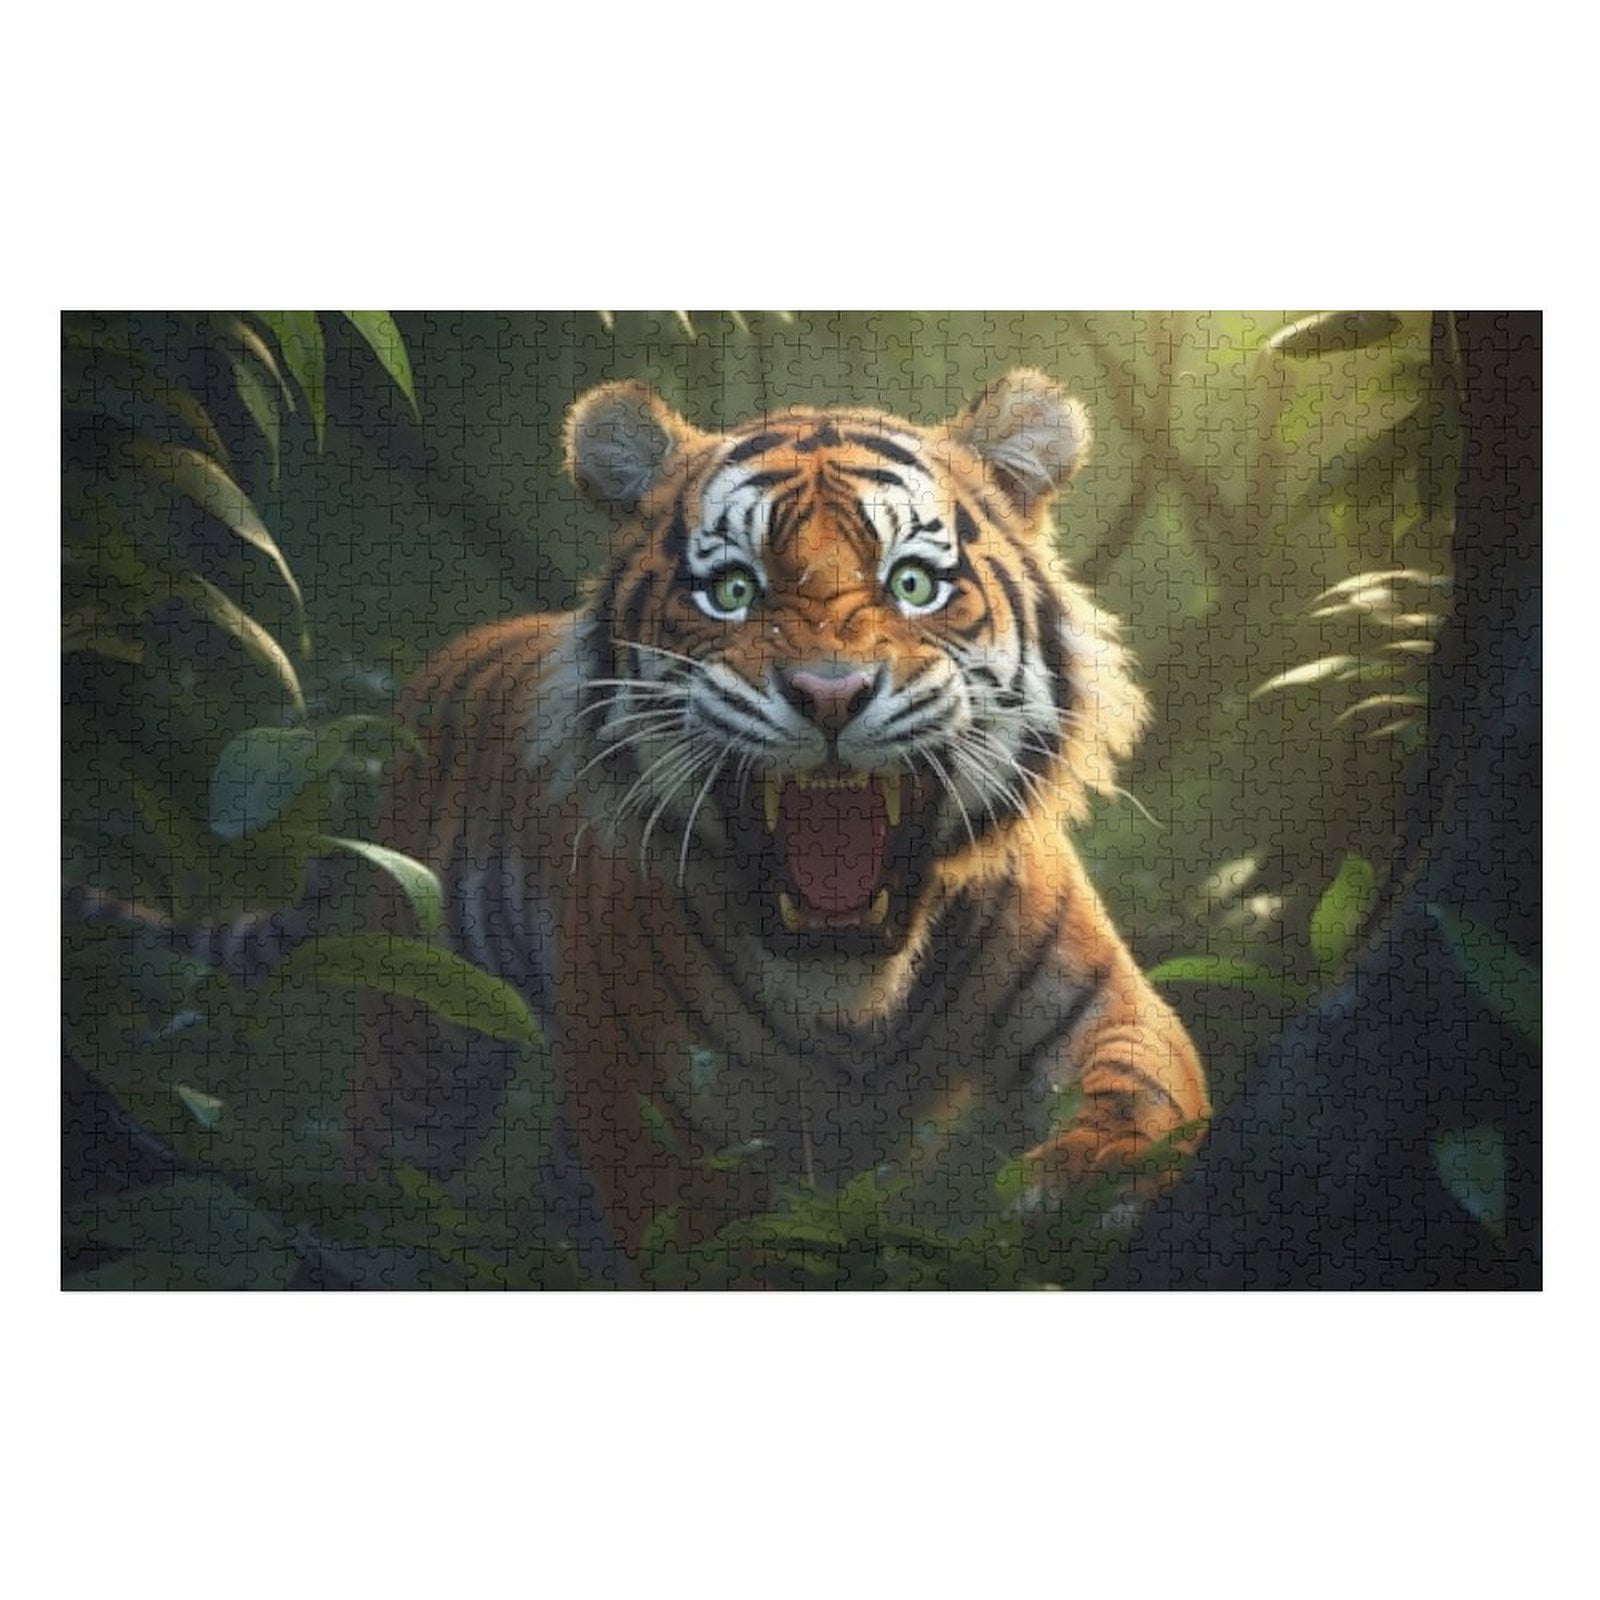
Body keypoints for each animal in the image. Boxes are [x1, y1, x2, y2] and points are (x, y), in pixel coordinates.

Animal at [353, 369, 1210, 1274]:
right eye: (733, 591)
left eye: (913, 583)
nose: (830, 693)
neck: (854, 1003)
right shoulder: (641, 1098)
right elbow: (708, 1251)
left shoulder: (1105, 1001)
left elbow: (1140, 1089)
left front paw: (1089, 1180)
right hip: (420, 1035)